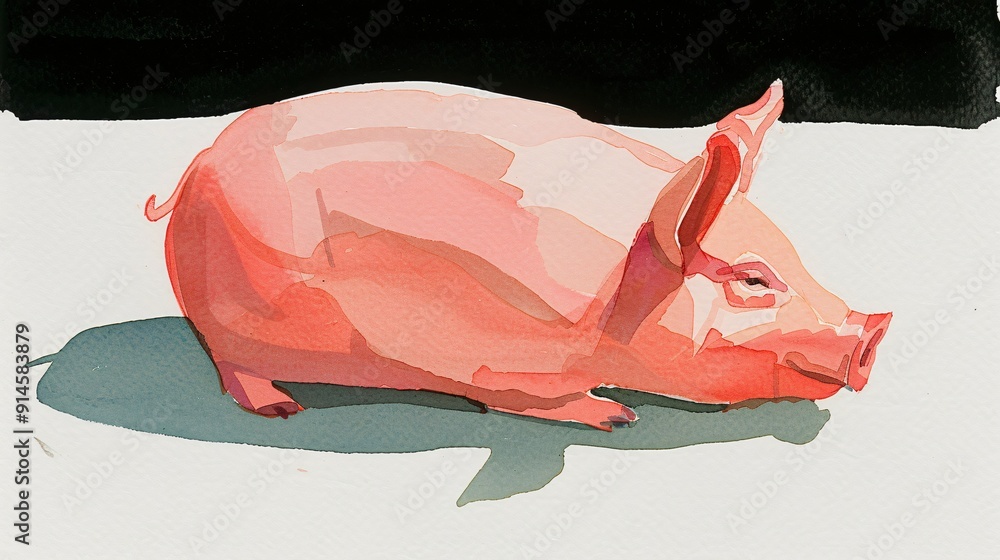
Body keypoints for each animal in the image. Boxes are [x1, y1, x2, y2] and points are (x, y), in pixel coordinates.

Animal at [145, 81, 891, 430]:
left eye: (793, 252)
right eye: (754, 279)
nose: (875, 327)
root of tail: (197, 164)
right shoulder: (496, 360)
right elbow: (527, 396)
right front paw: (618, 416)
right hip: (231, 321)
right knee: (229, 364)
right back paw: (283, 409)